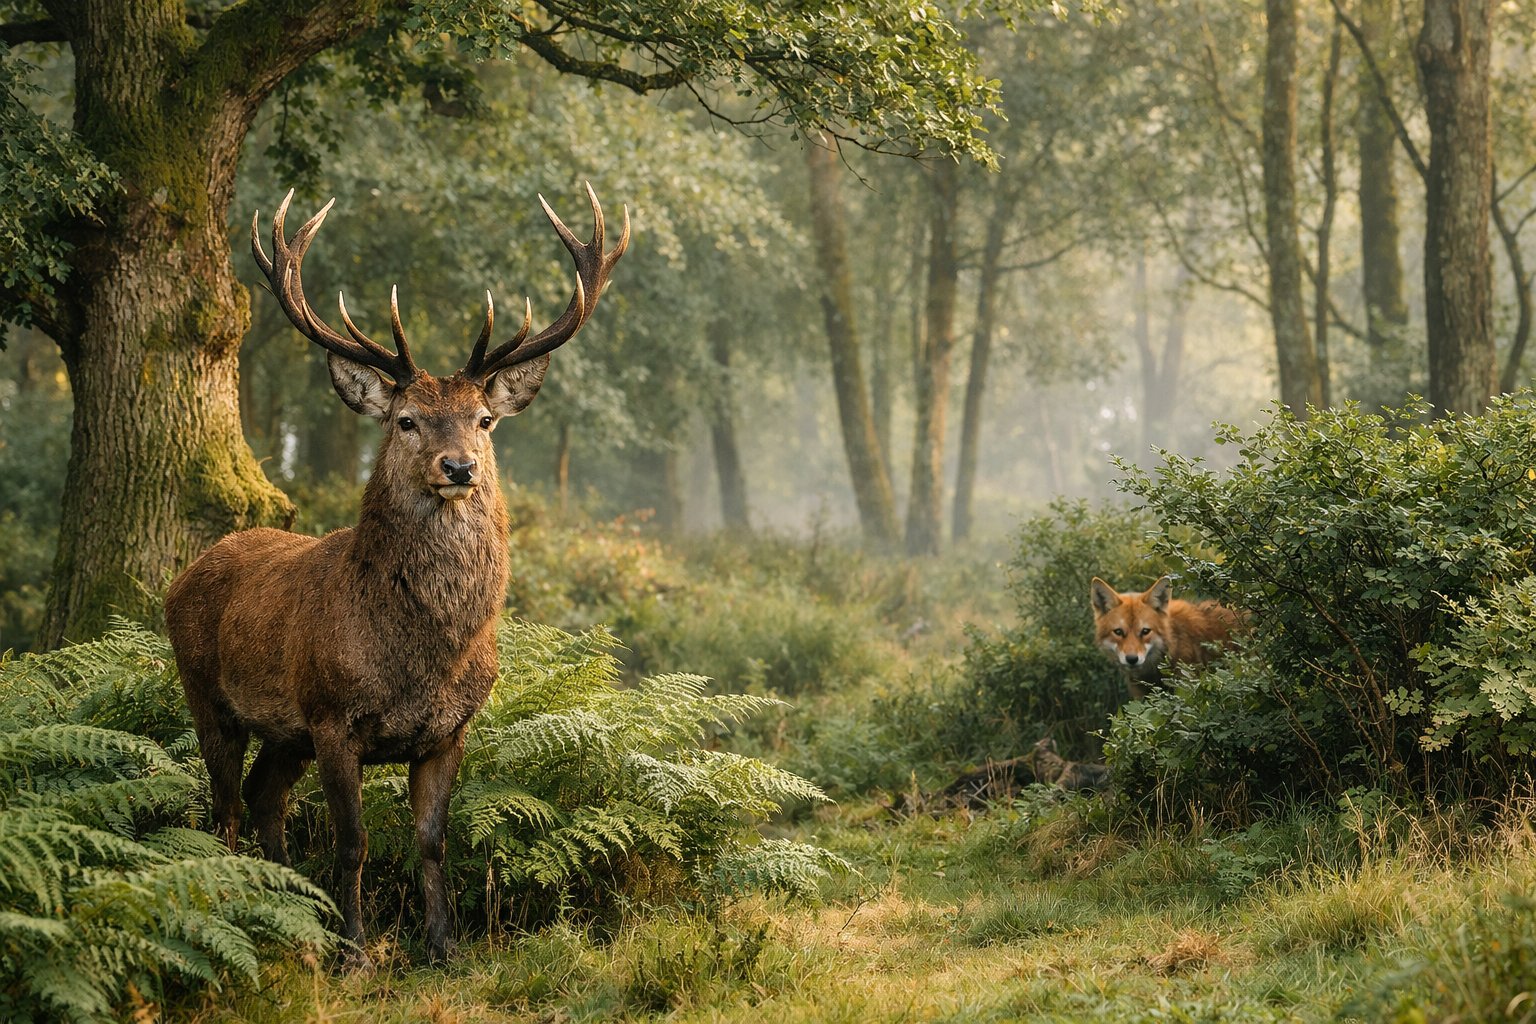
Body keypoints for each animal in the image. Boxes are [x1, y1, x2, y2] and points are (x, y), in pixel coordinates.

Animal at [164, 185, 627, 970]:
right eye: (407, 419)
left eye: (484, 419)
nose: (459, 467)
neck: (423, 658)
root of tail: (185, 573)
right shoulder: (332, 717)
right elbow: (352, 842)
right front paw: (354, 951)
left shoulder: (448, 731)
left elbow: (433, 841)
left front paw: (443, 946)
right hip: (209, 693)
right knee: (222, 804)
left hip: (284, 733)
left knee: (262, 796)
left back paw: (289, 907)